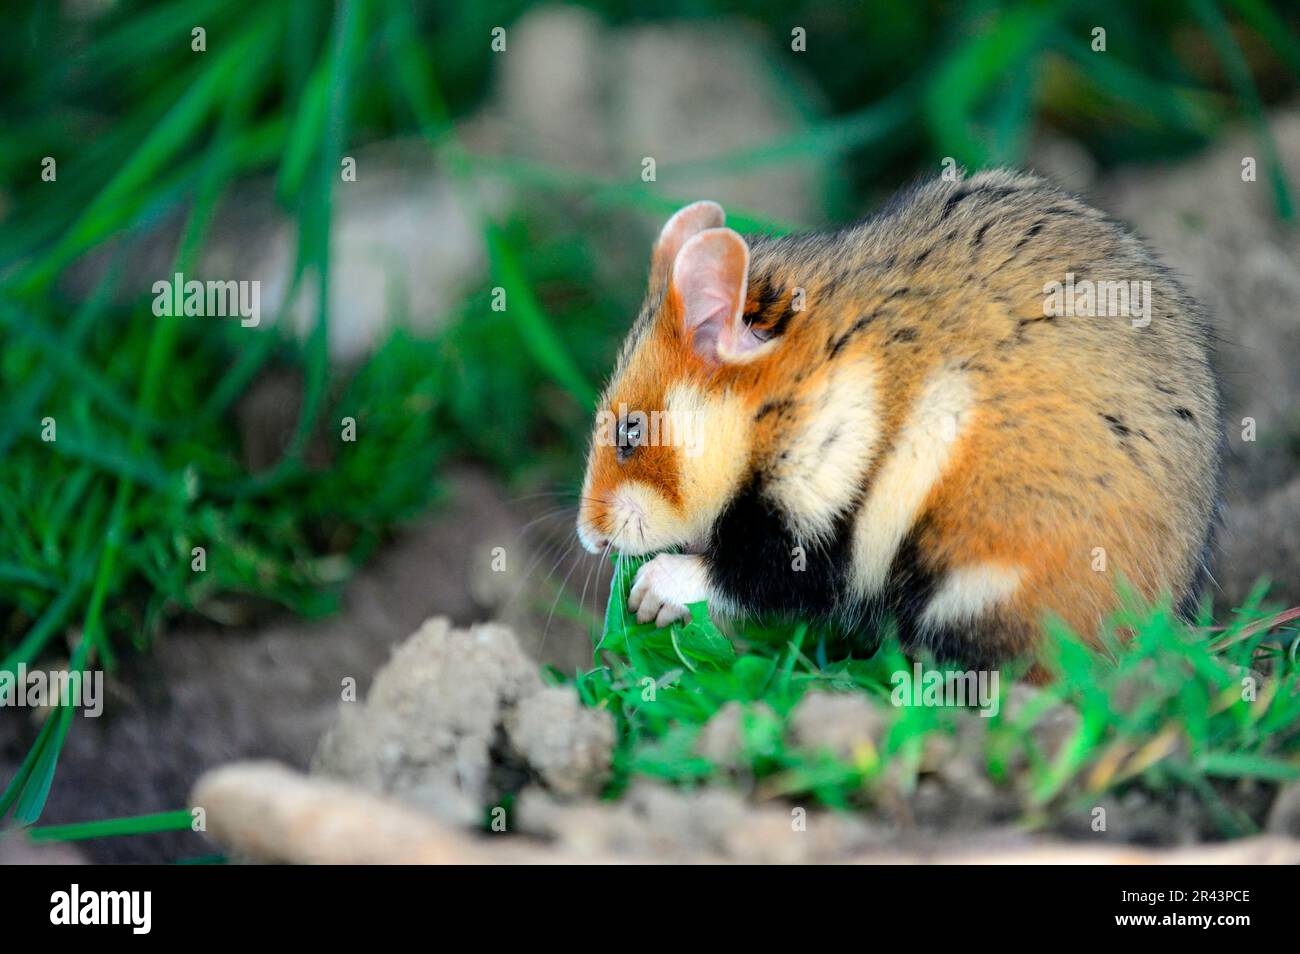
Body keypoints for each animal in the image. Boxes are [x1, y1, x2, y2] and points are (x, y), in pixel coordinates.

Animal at [577, 170, 1222, 672]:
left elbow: (749, 577)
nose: (588, 539)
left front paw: (647, 593)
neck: (783, 396)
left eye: (630, 432)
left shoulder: (823, 508)